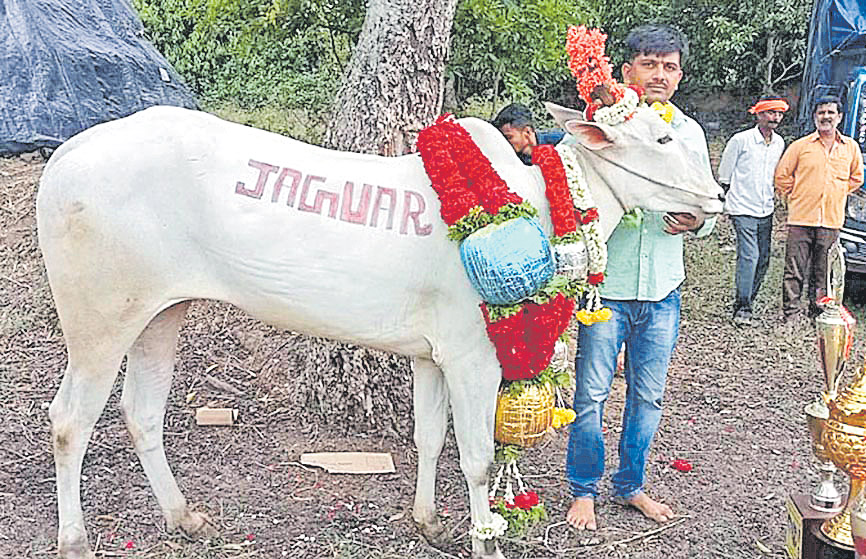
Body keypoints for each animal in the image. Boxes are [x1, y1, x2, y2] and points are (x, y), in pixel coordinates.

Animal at [36, 103, 724, 559]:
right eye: (664, 135)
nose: (716, 197)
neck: (542, 203)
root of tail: (67, 154)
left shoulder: (431, 355)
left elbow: (429, 438)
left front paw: (428, 522)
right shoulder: (474, 357)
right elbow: (476, 458)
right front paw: (485, 541)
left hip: (160, 311)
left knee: (141, 411)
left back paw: (184, 517)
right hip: (99, 321)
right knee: (69, 420)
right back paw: (73, 538)